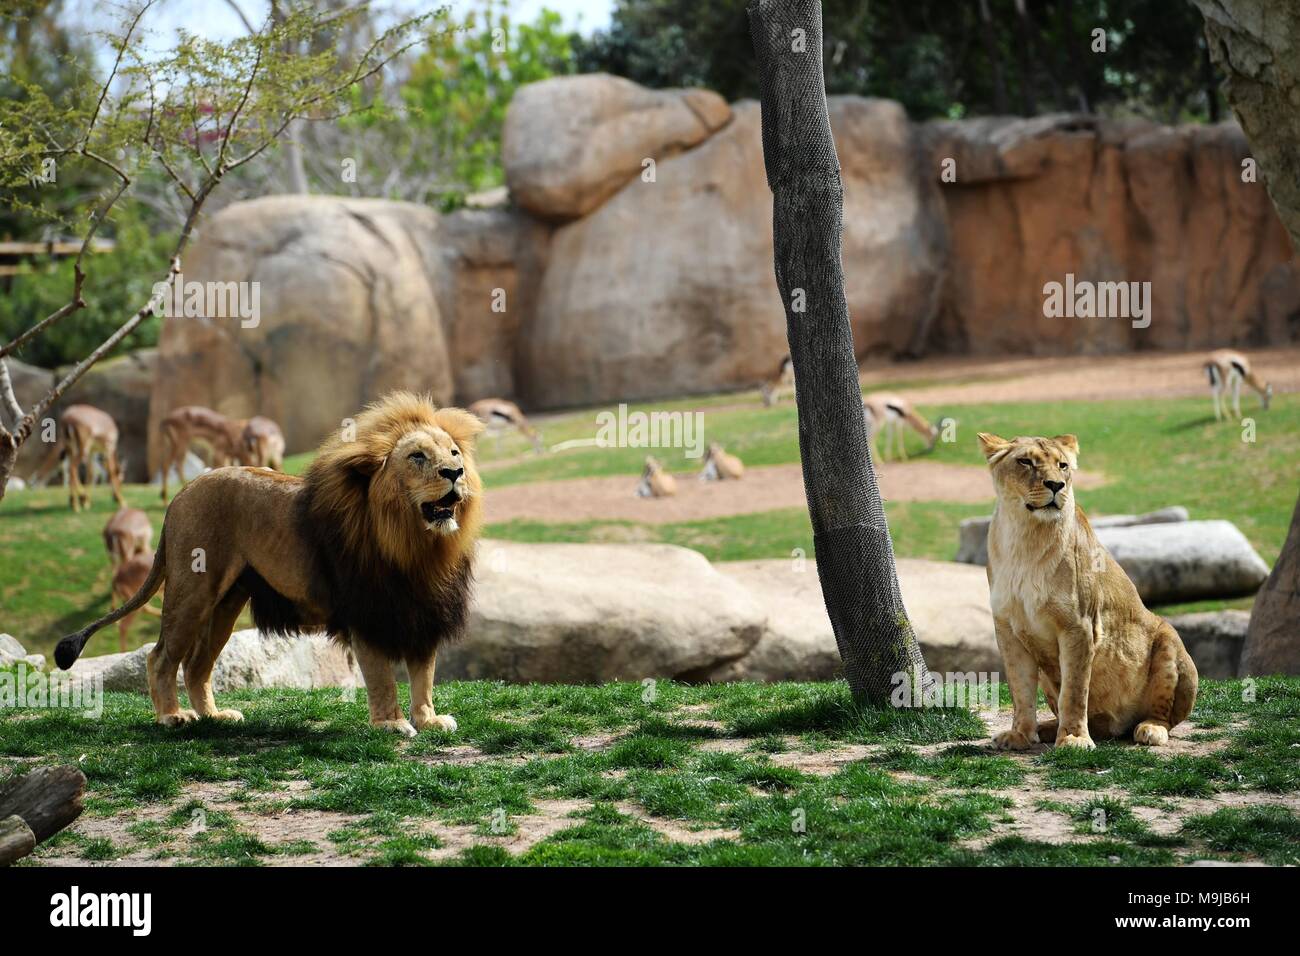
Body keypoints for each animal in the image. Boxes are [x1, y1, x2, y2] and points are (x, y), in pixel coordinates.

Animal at [55, 392, 484, 736]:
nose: (455, 473)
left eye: (453, 453)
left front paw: (428, 720)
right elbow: (381, 677)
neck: (417, 544)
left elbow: (424, 675)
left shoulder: (425, 608)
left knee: (196, 665)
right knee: (160, 656)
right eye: (417, 457)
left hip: (225, 602)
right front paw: (391, 724)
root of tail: (181, 494)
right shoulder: (366, 613)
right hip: (192, 590)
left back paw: (214, 716)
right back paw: (170, 717)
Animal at [977, 432, 1197, 750]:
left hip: (1168, 637)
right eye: (1025, 461)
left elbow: (1074, 690)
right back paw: (1046, 729)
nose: (1056, 485)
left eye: (1063, 466)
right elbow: (1020, 689)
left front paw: (1073, 738)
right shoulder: (1008, 629)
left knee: (1164, 715)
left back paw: (1149, 729)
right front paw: (1019, 735)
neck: (1025, 537)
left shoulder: (1079, 626)